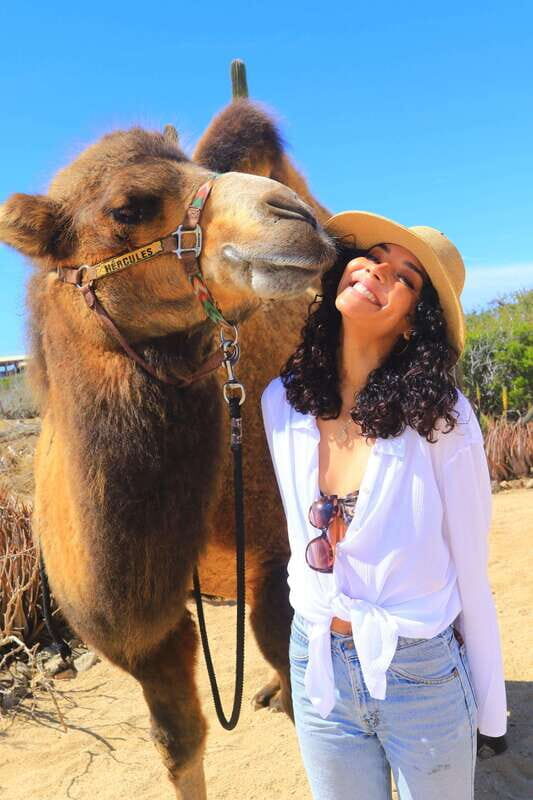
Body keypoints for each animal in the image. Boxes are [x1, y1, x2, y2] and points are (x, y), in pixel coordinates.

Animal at [0, 100, 335, 798]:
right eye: (127, 208)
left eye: (203, 170)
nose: (296, 219)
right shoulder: (138, 638)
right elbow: (178, 744)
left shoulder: (277, 560)